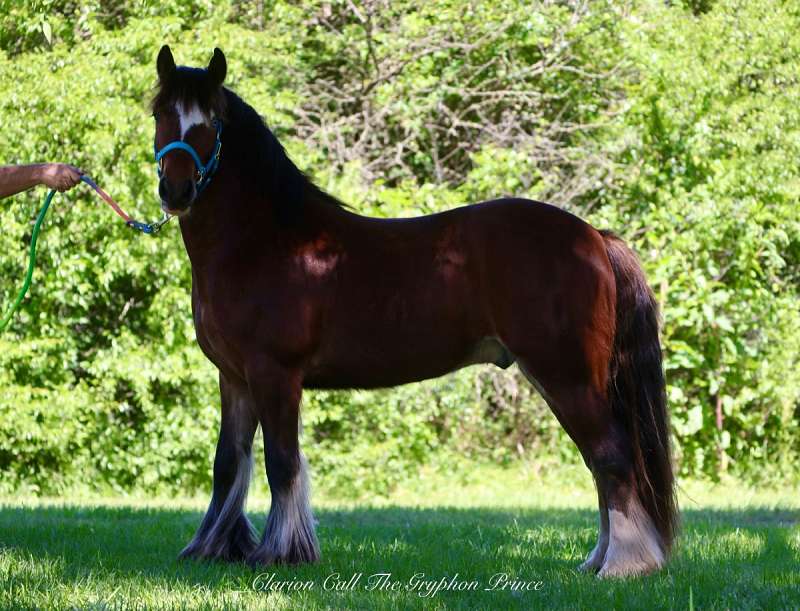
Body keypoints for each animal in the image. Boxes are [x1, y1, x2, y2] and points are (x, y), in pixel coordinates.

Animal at [150, 45, 677, 578]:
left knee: (611, 455)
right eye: (159, 114)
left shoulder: (274, 374)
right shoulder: (235, 377)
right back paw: (599, 561)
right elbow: (228, 463)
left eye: (211, 122)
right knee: (601, 462)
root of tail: (593, 237)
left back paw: (624, 563)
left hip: (567, 375)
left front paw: (282, 553)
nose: (177, 191)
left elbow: (282, 464)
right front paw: (214, 548)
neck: (267, 240)